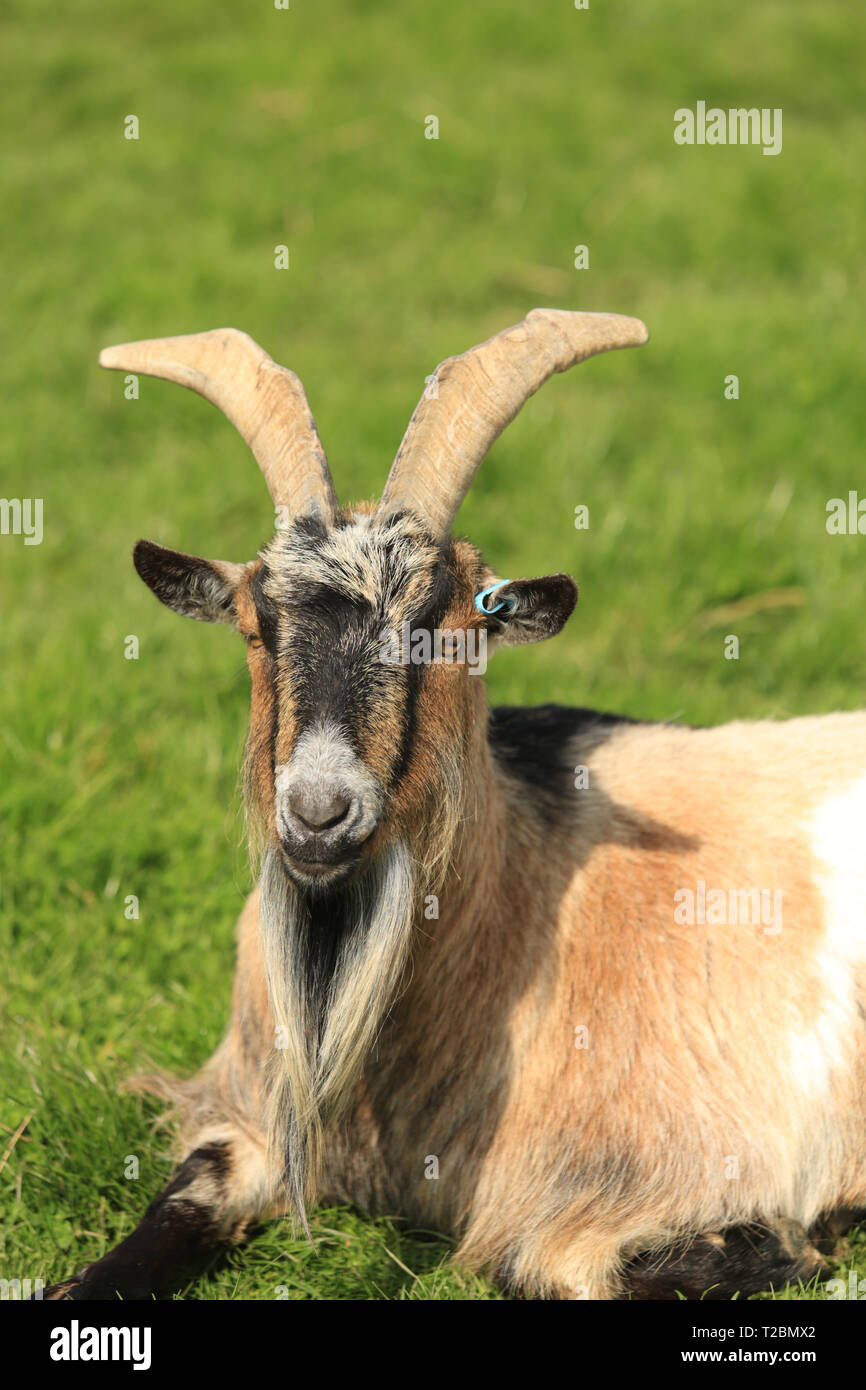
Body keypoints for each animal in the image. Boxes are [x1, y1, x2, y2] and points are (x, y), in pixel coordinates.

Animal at [44, 310, 866, 1301]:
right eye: (255, 624)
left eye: (451, 625)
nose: (318, 813)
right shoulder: (247, 1116)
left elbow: (570, 1264)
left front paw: (795, 1242)